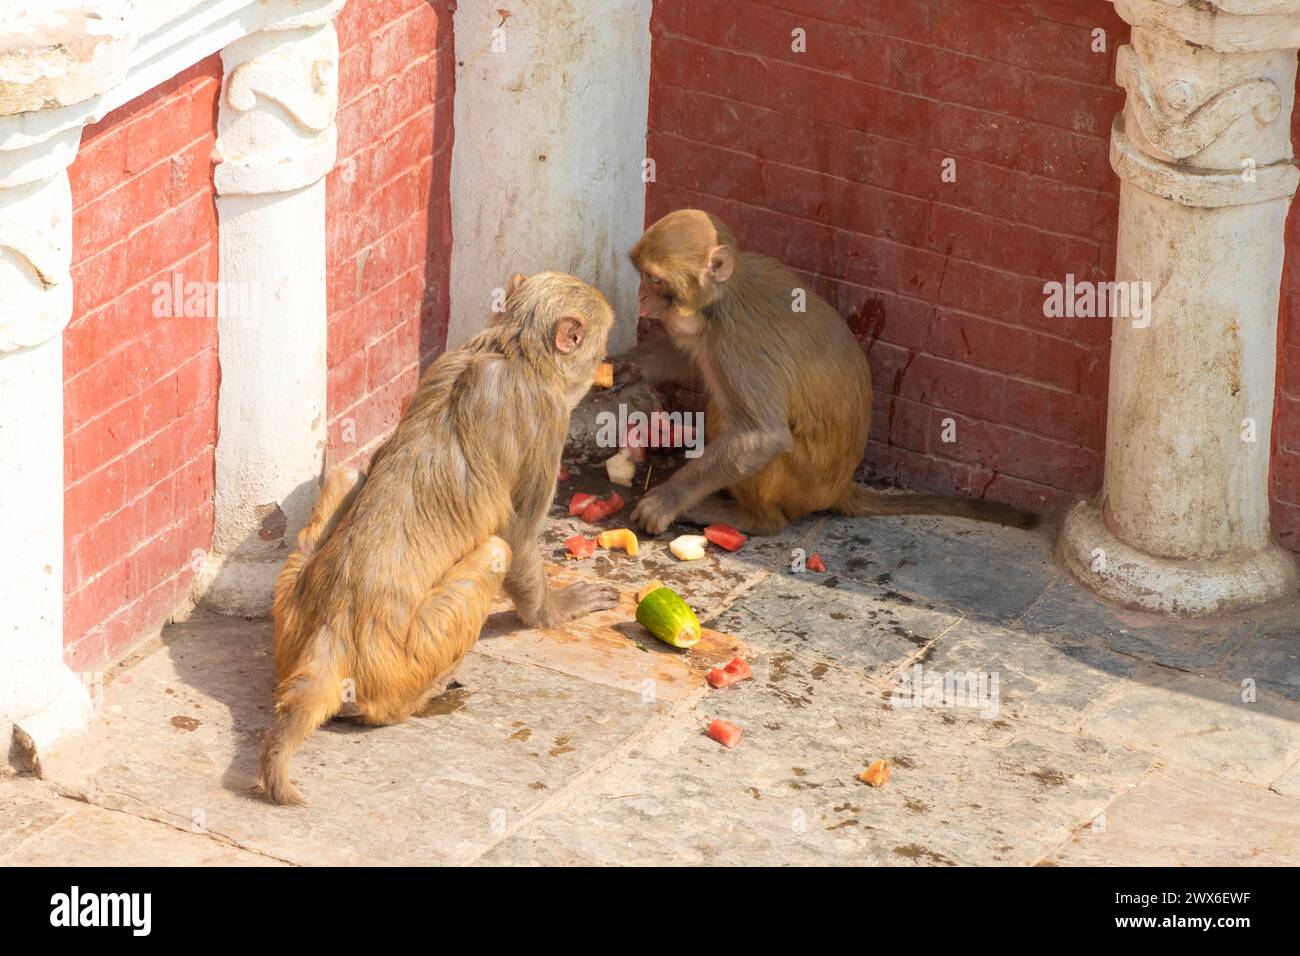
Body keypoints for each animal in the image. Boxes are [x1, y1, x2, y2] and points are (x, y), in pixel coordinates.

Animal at [261, 271, 619, 805]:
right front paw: (552, 612)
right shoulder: (547, 416)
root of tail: (330, 636)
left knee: (348, 473)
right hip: (409, 657)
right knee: (495, 551)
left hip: (288, 620)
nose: (605, 365)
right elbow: (518, 536)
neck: (511, 347)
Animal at [616, 209, 1036, 536]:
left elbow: (763, 437)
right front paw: (627, 367)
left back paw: (757, 521)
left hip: (802, 483)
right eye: (643, 275)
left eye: (655, 279)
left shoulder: (737, 346)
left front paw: (666, 501)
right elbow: (687, 355)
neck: (720, 301)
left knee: (731, 420)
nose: (640, 296)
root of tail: (839, 488)